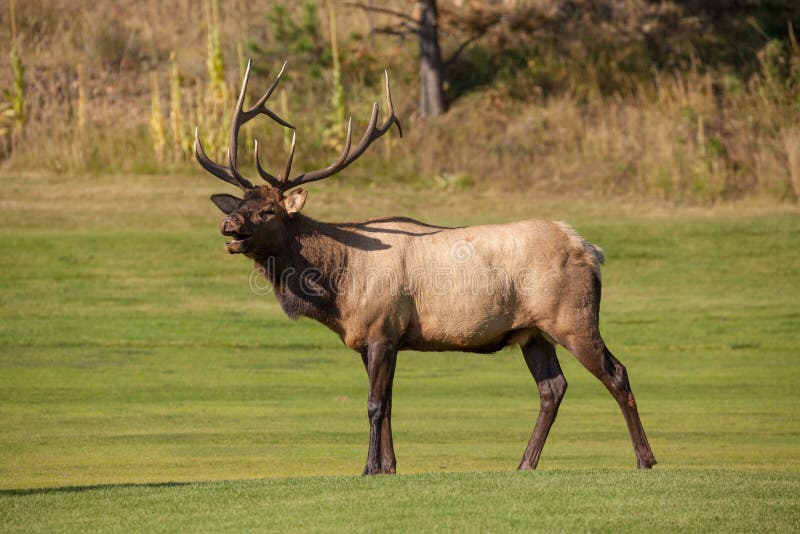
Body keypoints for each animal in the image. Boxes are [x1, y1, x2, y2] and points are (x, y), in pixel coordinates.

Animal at [194, 60, 657, 475]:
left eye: (269, 210)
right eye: (241, 203)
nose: (228, 224)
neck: (338, 287)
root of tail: (590, 249)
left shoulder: (382, 329)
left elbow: (374, 404)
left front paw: (368, 468)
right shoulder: (374, 339)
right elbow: (388, 404)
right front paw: (389, 467)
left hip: (572, 316)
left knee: (617, 373)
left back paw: (644, 458)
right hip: (532, 331)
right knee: (552, 388)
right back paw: (525, 463)